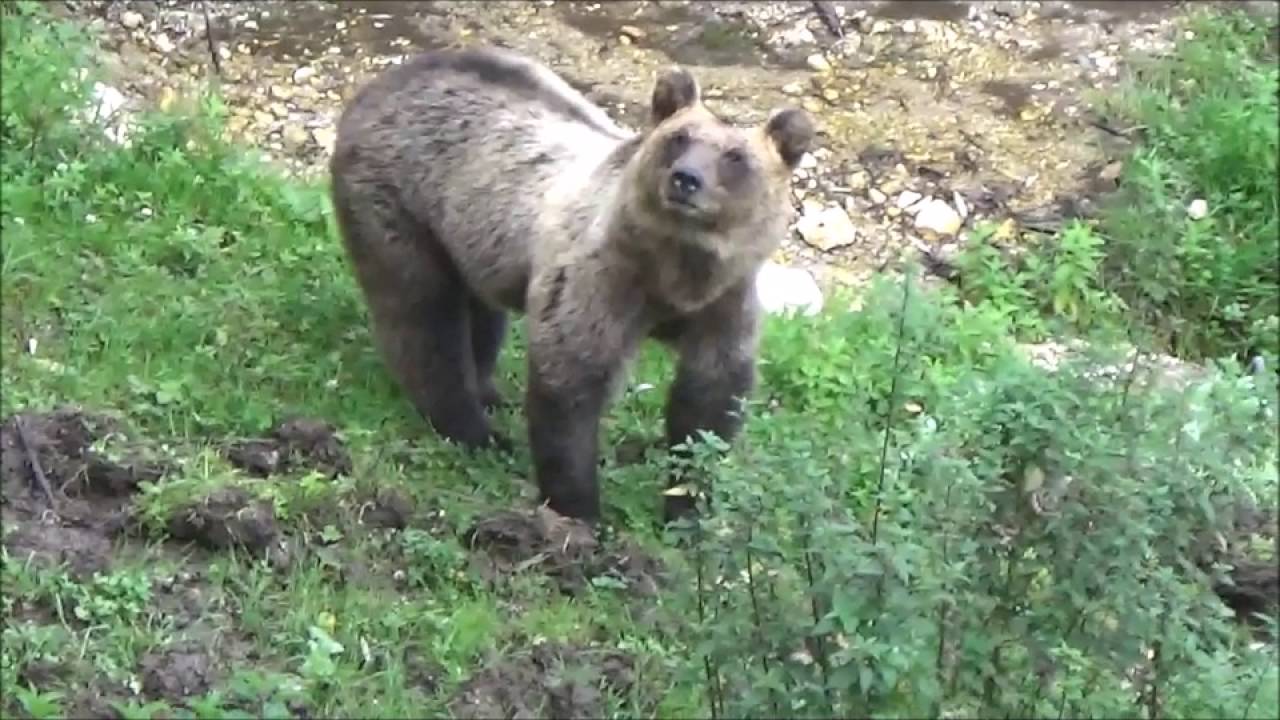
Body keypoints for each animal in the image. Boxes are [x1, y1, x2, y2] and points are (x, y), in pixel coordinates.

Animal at [329, 46, 814, 524]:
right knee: (423, 318)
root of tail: (382, 82)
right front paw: (579, 509)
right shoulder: (599, 281)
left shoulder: (725, 301)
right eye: (678, 138)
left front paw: (686, 506)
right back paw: (475, 430)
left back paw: (489, 392)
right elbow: (569, 386)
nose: (686, 179)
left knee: (479, 316)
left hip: (470, 240)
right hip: (398, 205)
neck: (673, 271)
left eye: (735, 158)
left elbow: (709, 401)